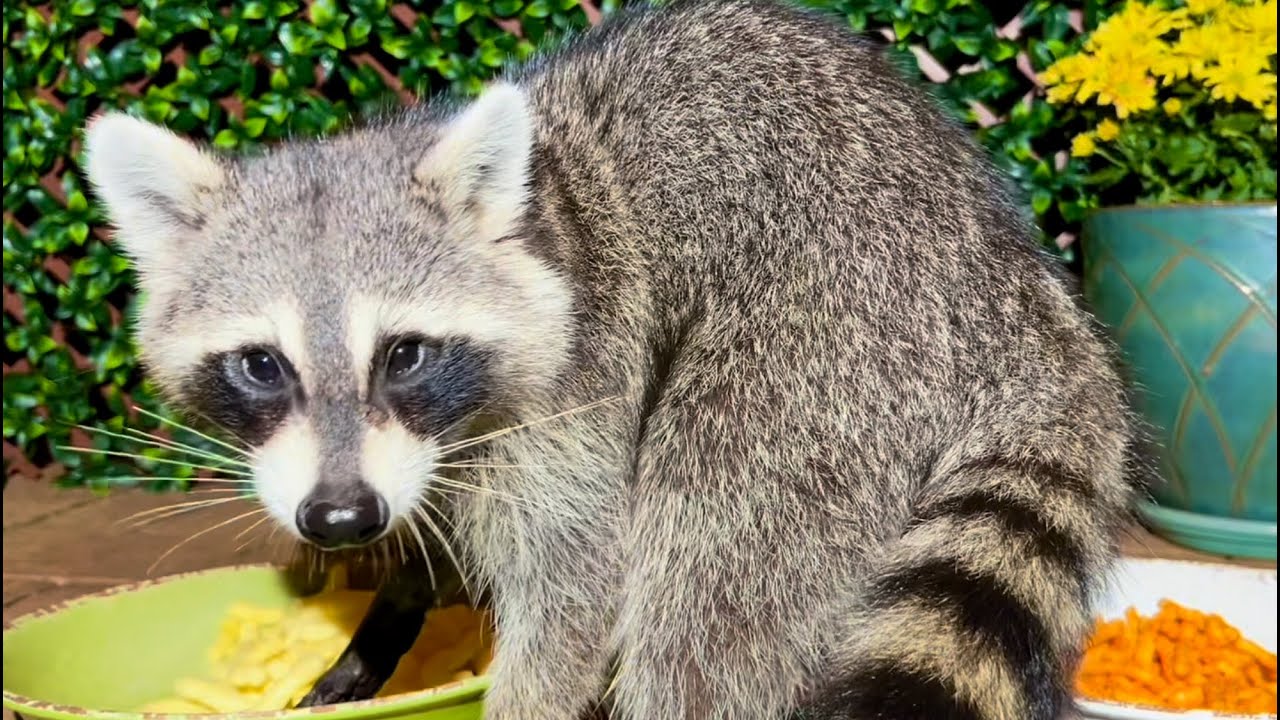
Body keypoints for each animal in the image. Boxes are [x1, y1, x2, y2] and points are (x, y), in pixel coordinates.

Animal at [83, 0, 1146, 717]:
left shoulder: (579, 385)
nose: (339, 518)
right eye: (262, 366)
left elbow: (576, 585)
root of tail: (1025, 290)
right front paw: (381, 621)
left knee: (709, 580)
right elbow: (427, 534)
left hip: (835, 347)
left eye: (405, 354)